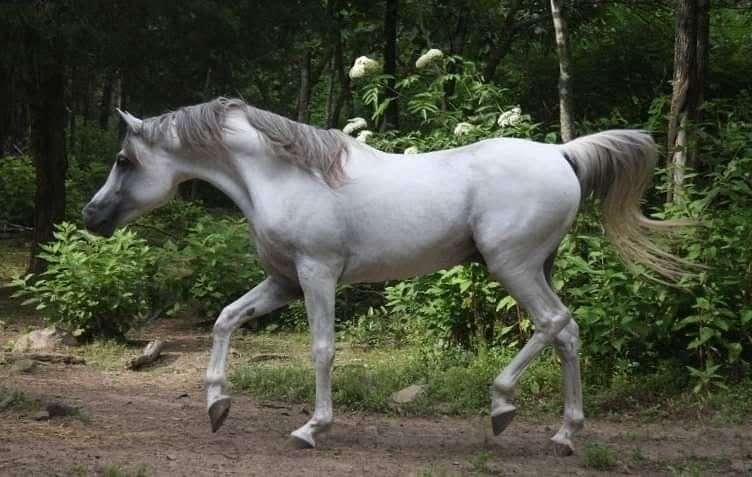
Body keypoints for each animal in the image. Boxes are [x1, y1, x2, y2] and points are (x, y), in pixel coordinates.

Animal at [83, 97, 688, 455]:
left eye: (123, 160)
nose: (92, 217)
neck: (283, 175)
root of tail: (563, 154)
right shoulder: (282, 281)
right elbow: (225, 319)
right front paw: (216, 406)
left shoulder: (316, 275)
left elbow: (322, 349)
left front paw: (312, 428)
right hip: (535, 267)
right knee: (568, 335)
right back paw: (564, 433)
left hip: (512, 266)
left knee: (553, 324)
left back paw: (503, 406)